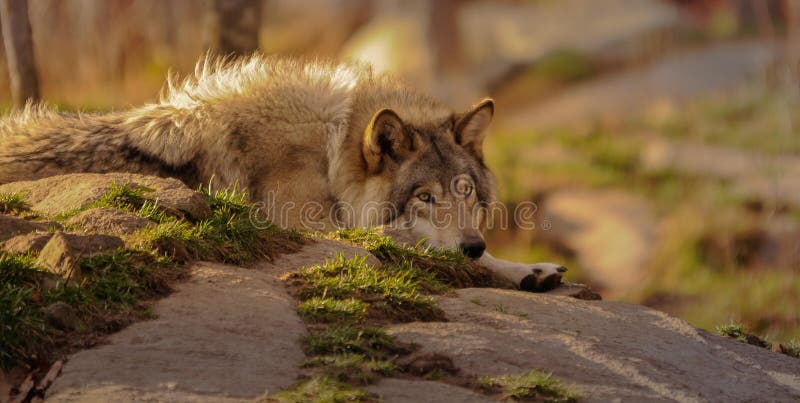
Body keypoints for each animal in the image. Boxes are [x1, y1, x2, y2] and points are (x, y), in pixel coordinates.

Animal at [0, 55, 566, 291]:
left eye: (465, 192)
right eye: (424, 197)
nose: (471, 244)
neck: (329, 154)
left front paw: (527, 268)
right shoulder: (318, 229)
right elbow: (413, 243)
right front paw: (503, 267)